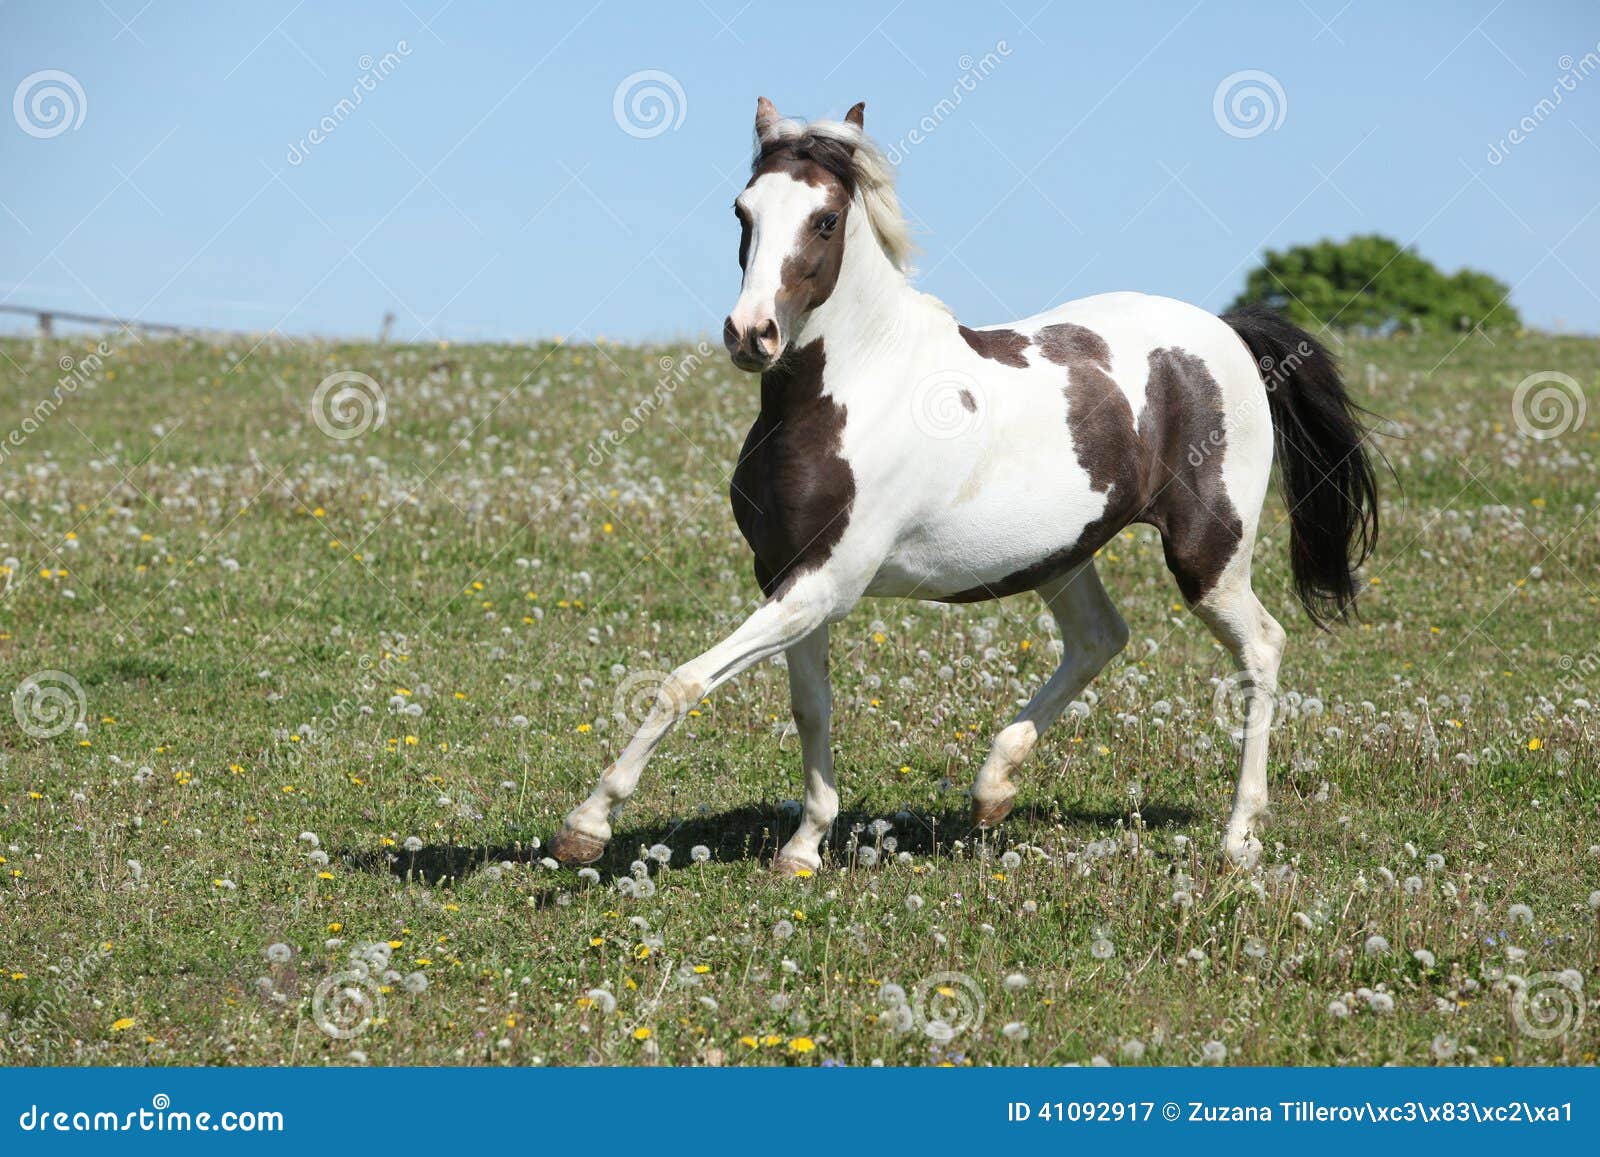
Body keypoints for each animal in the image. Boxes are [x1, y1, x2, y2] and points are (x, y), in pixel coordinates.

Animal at [550, 97, 1378, 873]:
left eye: (825, 218)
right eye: (743, 210)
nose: (752, 335)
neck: (849, 391)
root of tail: (1229, 333)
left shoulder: (829, 581)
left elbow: (682, 682)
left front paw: (586, 826)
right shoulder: (787, 576)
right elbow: (810, 706)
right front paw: (805, 846)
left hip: (1209, 553)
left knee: (1260, 649)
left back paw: (1239, 839)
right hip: (1059, 554)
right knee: (1099, 637)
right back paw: (992, 790)